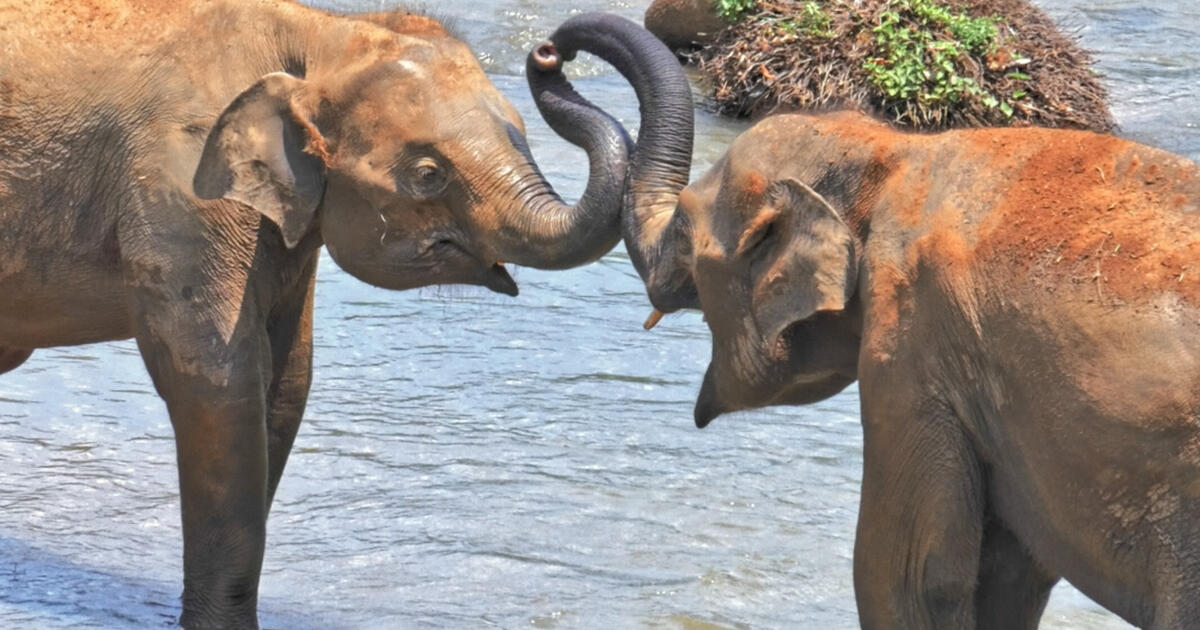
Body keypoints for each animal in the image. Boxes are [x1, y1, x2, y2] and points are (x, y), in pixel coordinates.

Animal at [0, 3, 690, 628]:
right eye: (427, 174)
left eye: (520, 128)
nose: (552, 49)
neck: (320, 35)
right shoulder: (181, 188)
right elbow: (217, 384)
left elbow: (286, 384)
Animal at [561, 50, 1200, 628]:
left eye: (684, 228)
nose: (551, 53)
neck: (891, 155)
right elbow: (1003, 580)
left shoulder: (913, 342)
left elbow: (906, 579)